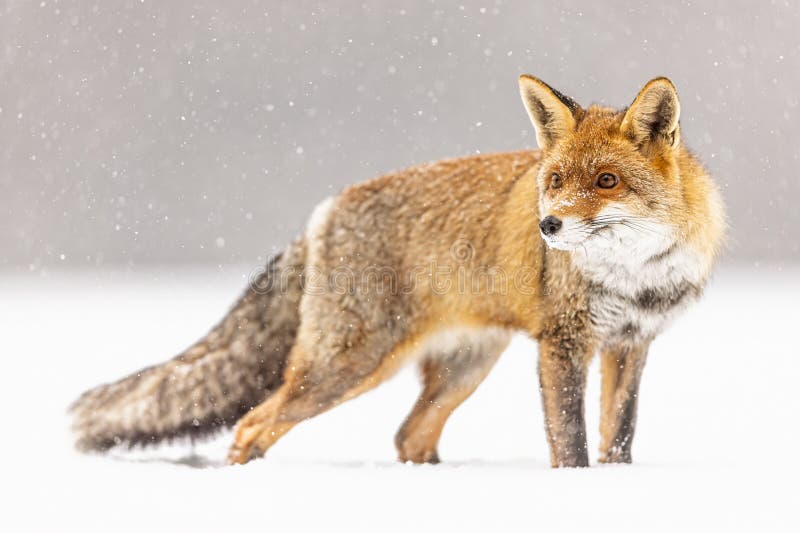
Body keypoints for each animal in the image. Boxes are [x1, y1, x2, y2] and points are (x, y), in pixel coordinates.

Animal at [71, 75, 725, 467]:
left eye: (607, 181)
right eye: (557, 180)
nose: (548, 226)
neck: (635, 276)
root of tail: (324, 211)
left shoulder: (631, 343)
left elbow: (619, 436)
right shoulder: (564, 344)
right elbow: (570, 439)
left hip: (462, 369)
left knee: (410, 434)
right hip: (351, 366)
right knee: (252, 427)